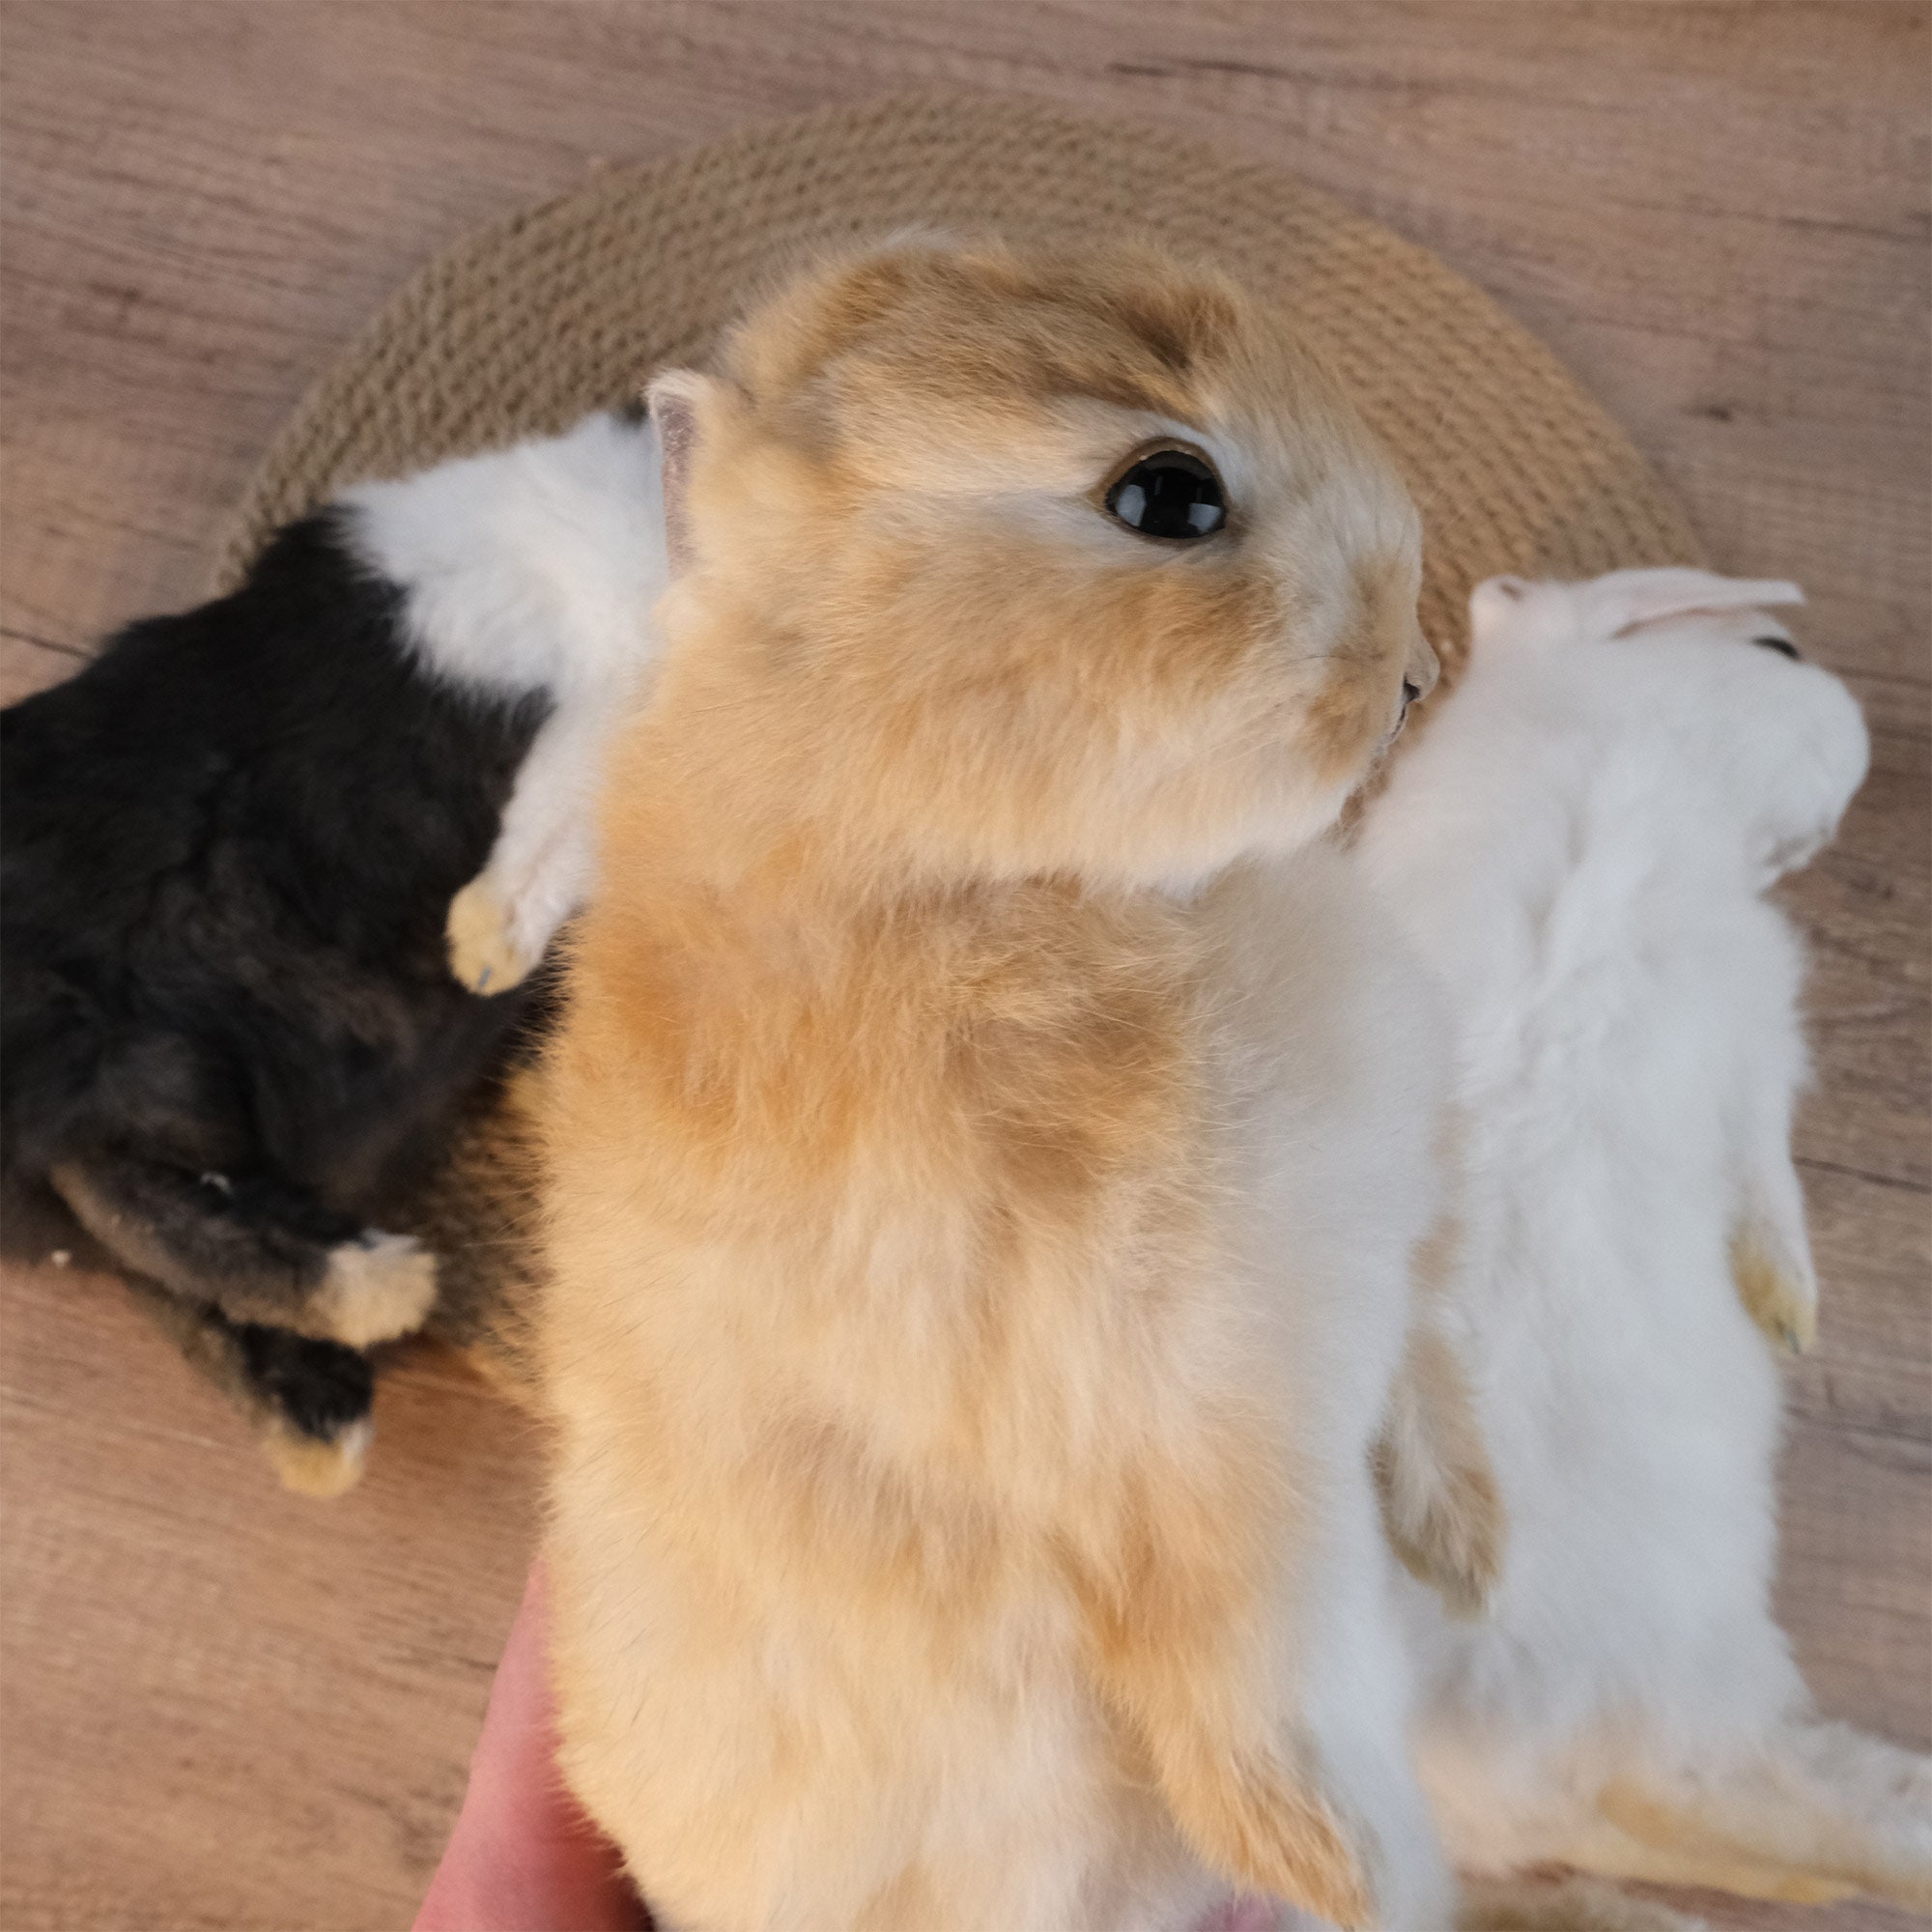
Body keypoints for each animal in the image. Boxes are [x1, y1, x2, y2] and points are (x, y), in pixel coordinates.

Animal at [1, 407, 668, 1493]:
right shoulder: (610, 683)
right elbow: (548, 829)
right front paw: (485, 948)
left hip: (174, 1095)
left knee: (152, 1228)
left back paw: (322, 1399)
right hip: (100, 1032)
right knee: (135, 1204)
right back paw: (371, 1290)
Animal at [528, 234, 1703, 1932]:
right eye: (1168, 498)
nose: (1413, 675)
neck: (986, 864)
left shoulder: (1373, 1281)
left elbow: (1421, 1374)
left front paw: (1470, 1549)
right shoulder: (1176, 1453)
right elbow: (1238, 1705)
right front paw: (1335, 1866)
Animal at [1353, 567, 1932, 1914]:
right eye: (1774, 648)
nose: (1849, 776)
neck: (1626, 756)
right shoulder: (1759, 1036)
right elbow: (1768, 1177)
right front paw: (1790, 1307)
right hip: (1694, 1703)